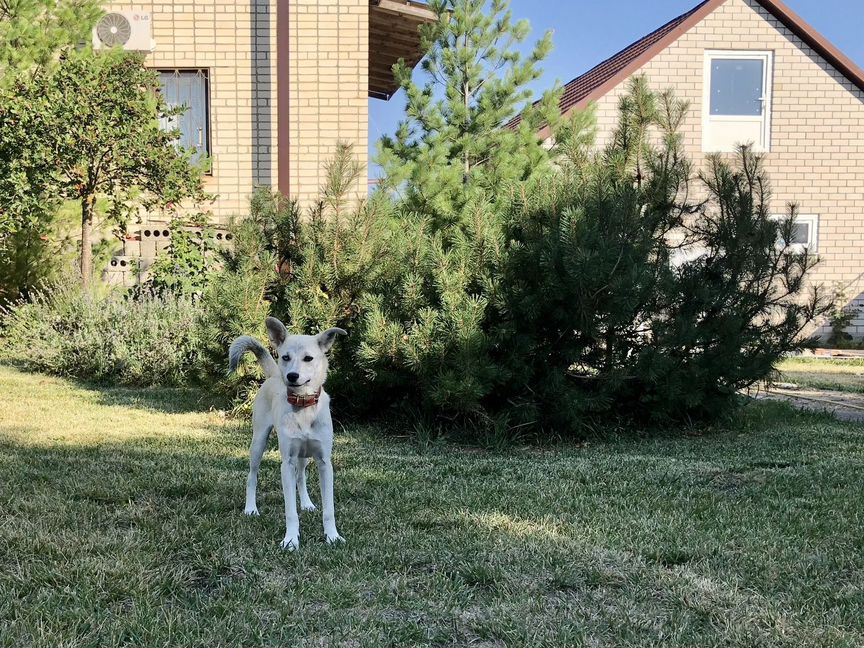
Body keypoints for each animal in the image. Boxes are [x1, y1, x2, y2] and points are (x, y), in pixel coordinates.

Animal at [231, 316, 350, 548]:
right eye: (285, 357)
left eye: (308, 358)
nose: (292, 376)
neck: (303, 405)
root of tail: (274, 376)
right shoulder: (286, 463)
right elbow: (290, 511)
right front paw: (291, 540)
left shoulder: (324, 462)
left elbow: (328, 509)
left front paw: (333, 536)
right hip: (258, 442)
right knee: (252, 476)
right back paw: (251, 508)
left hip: (304, 455)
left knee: (301, 477)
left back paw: (307, 503)